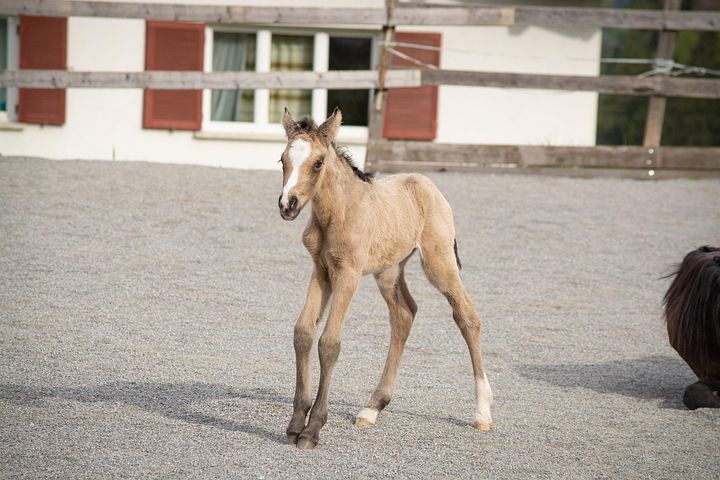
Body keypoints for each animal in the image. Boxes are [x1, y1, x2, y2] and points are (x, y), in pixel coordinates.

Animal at [277, 107, 493, 449]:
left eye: (318, 162)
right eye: (282, 159)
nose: (288, 204)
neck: (335, 213)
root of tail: (426, 184)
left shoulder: (348, 274)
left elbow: (329, 343)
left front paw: (313, 430)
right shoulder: (321, 271)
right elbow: (303, 333)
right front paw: (296, 423)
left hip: (439, 262)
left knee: (466, 314)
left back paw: (483, 412)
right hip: (388, 271)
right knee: (404, 314)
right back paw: (372, 408)